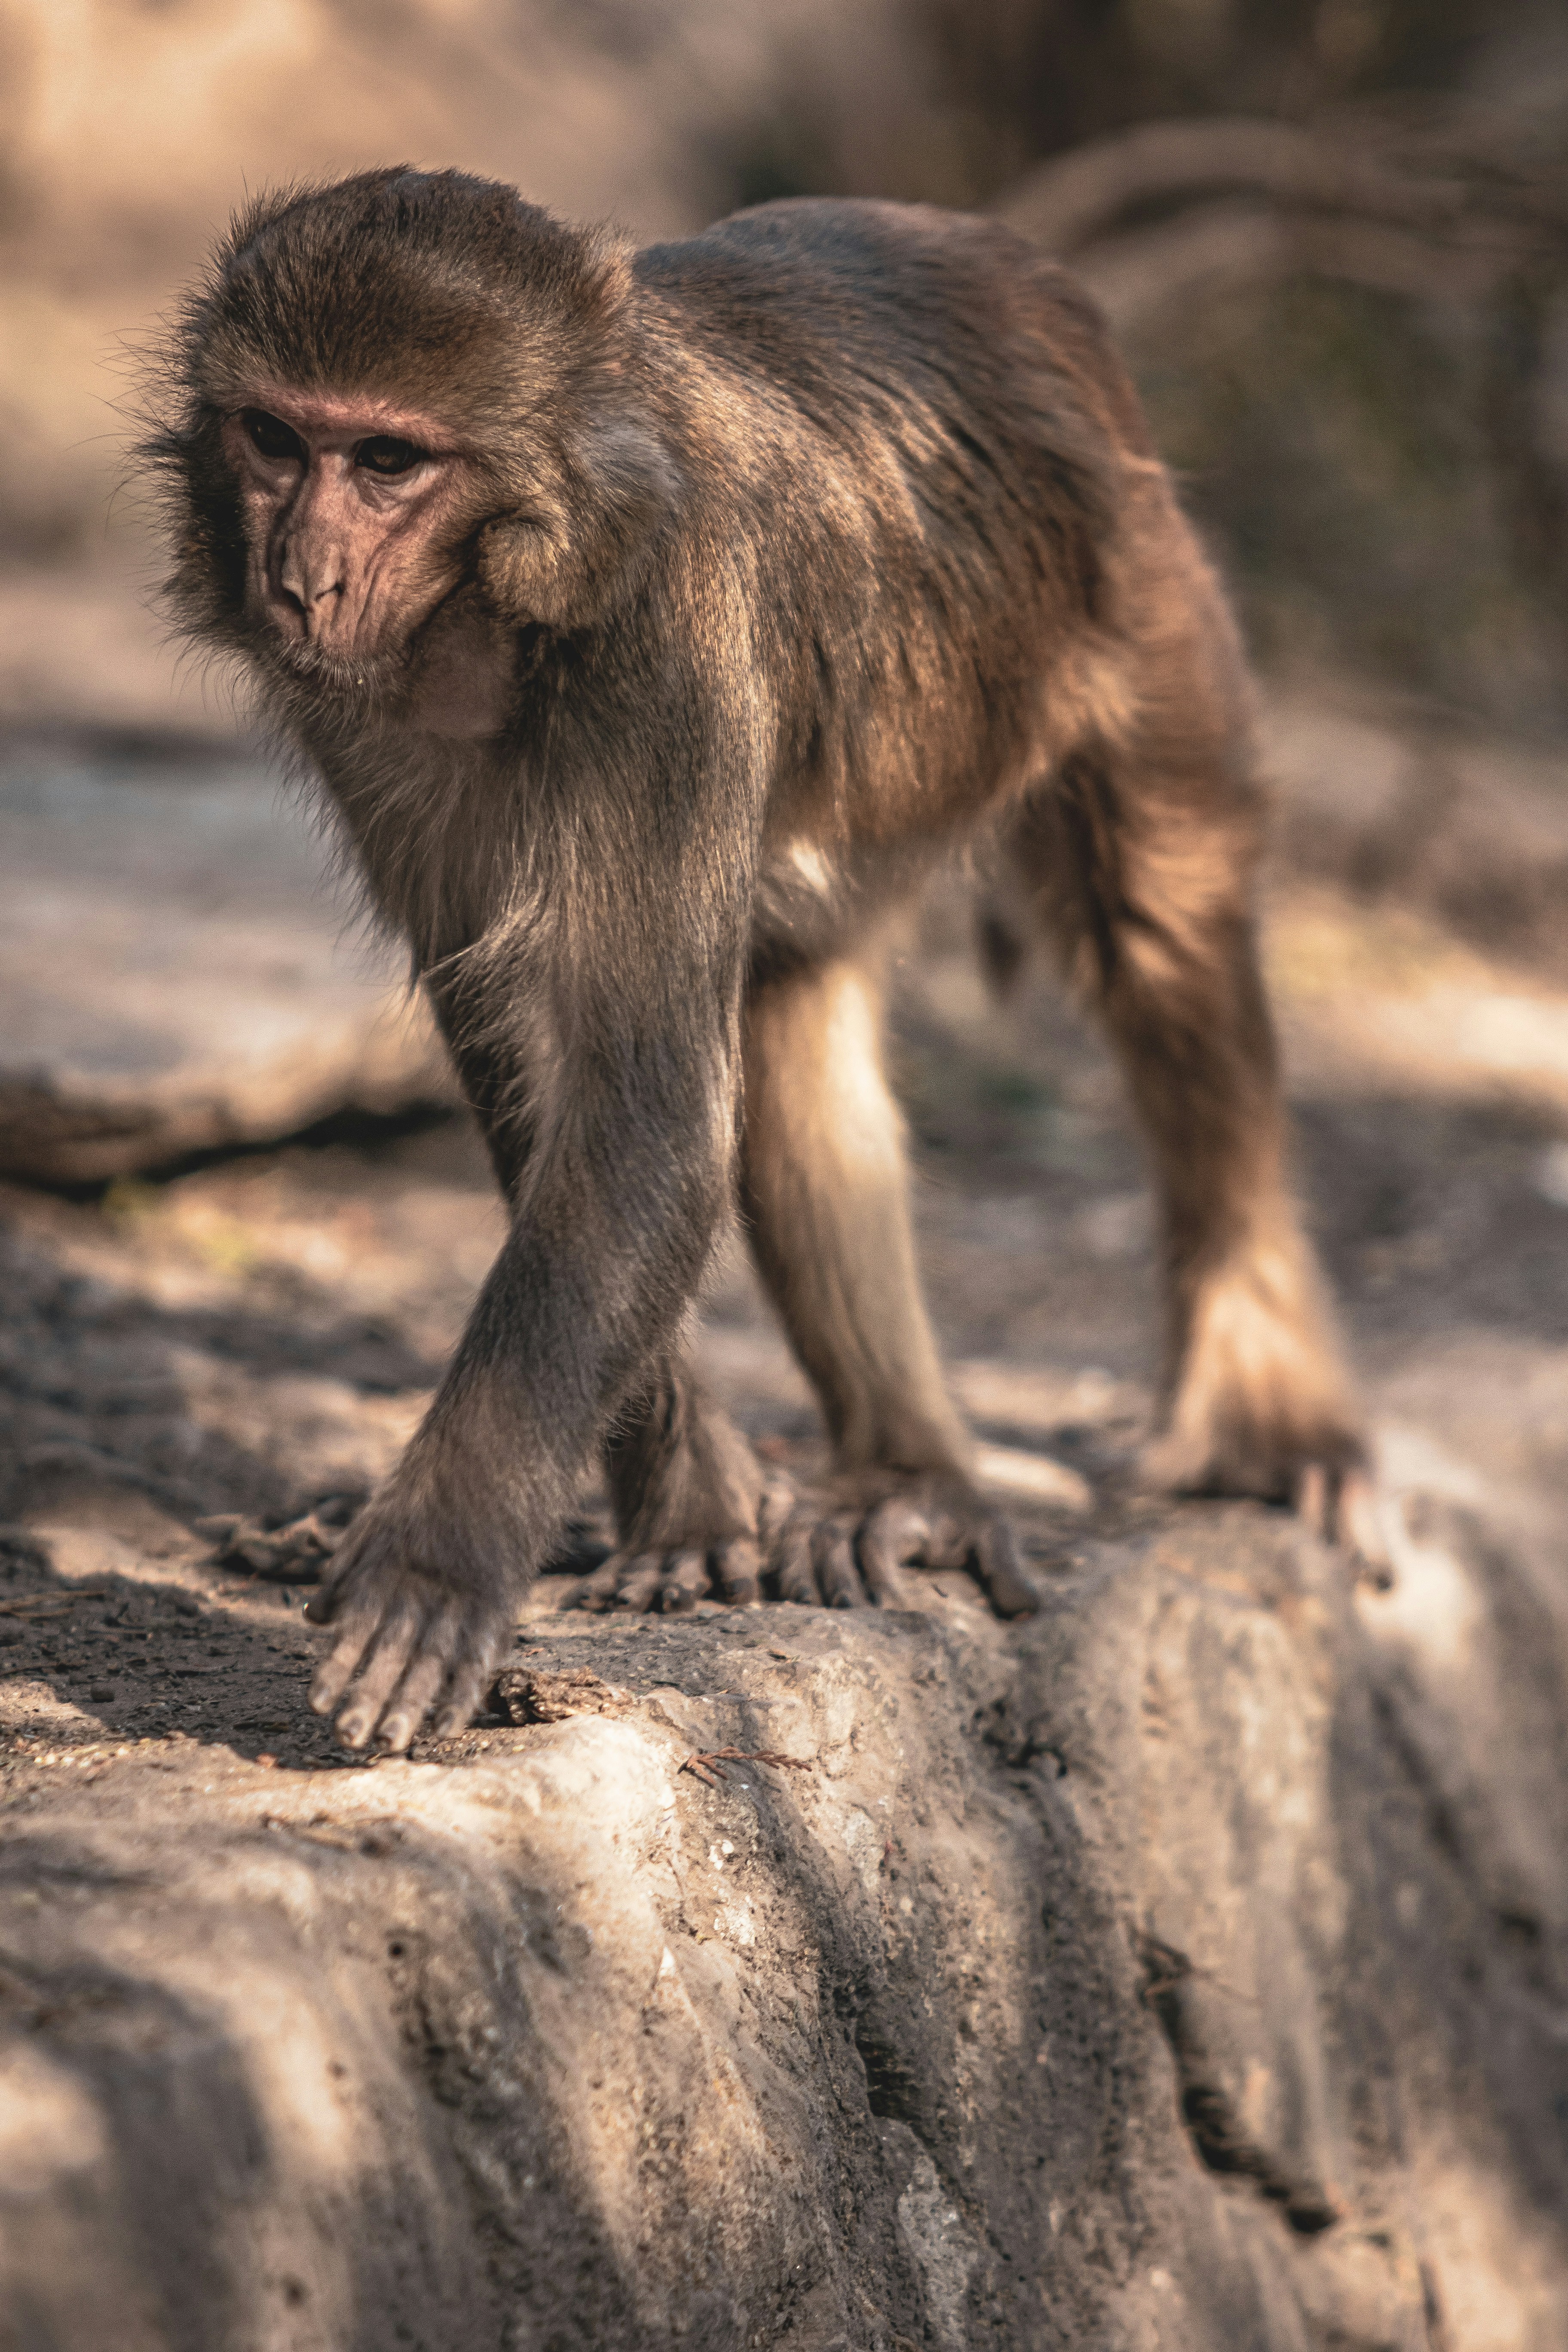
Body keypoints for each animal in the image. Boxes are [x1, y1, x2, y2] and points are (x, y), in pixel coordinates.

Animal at [144, 167, 1380, 1754]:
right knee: (794, 1021)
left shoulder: (669, 646)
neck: (517, 590)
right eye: (277, 439)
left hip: (1138, 593)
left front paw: (441, 1557)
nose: (303, 576)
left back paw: (1256, 1413)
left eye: (389, 459)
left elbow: (647, 1117)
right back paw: (906, 1475)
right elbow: (542, 1077)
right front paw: (685, 1512)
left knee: (1161, 938)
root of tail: (998, 255)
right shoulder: (368, 721)